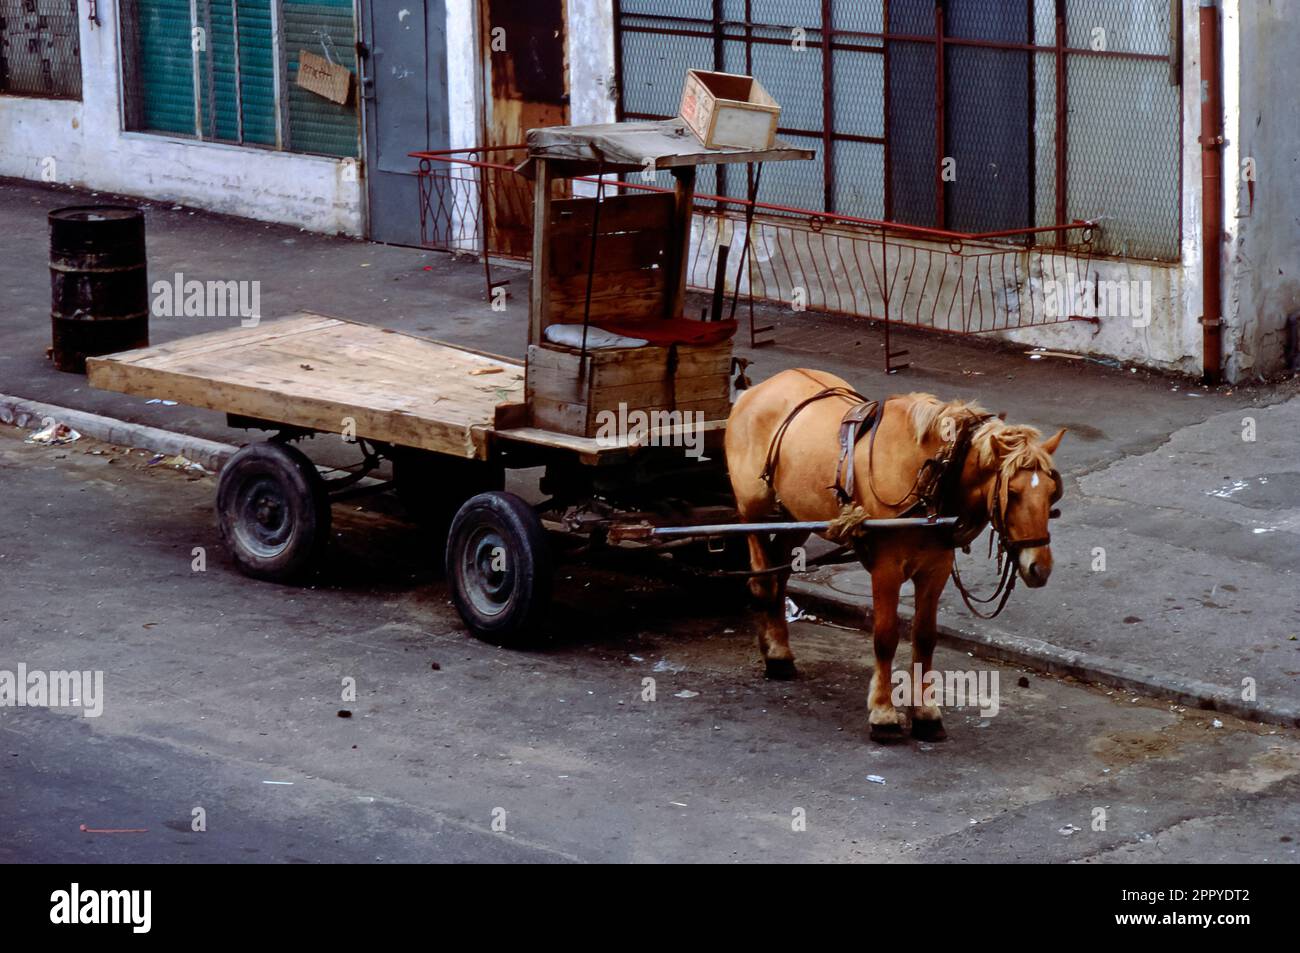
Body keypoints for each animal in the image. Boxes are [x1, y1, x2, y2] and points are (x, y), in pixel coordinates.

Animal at [725, 368, 1064, 743]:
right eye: (1013, 493)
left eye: (1051, 492)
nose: (1039, 568)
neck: (929, 476)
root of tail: (756, 390)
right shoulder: (885, 569)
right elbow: (885, 638)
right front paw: (883, 713)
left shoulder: (935, 569)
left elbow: (925, 637)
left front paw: (925, 713)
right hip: (753, 512)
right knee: (763, 581)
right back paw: (774, 655)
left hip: (795, 516)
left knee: (780, 576)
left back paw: (780, 651)